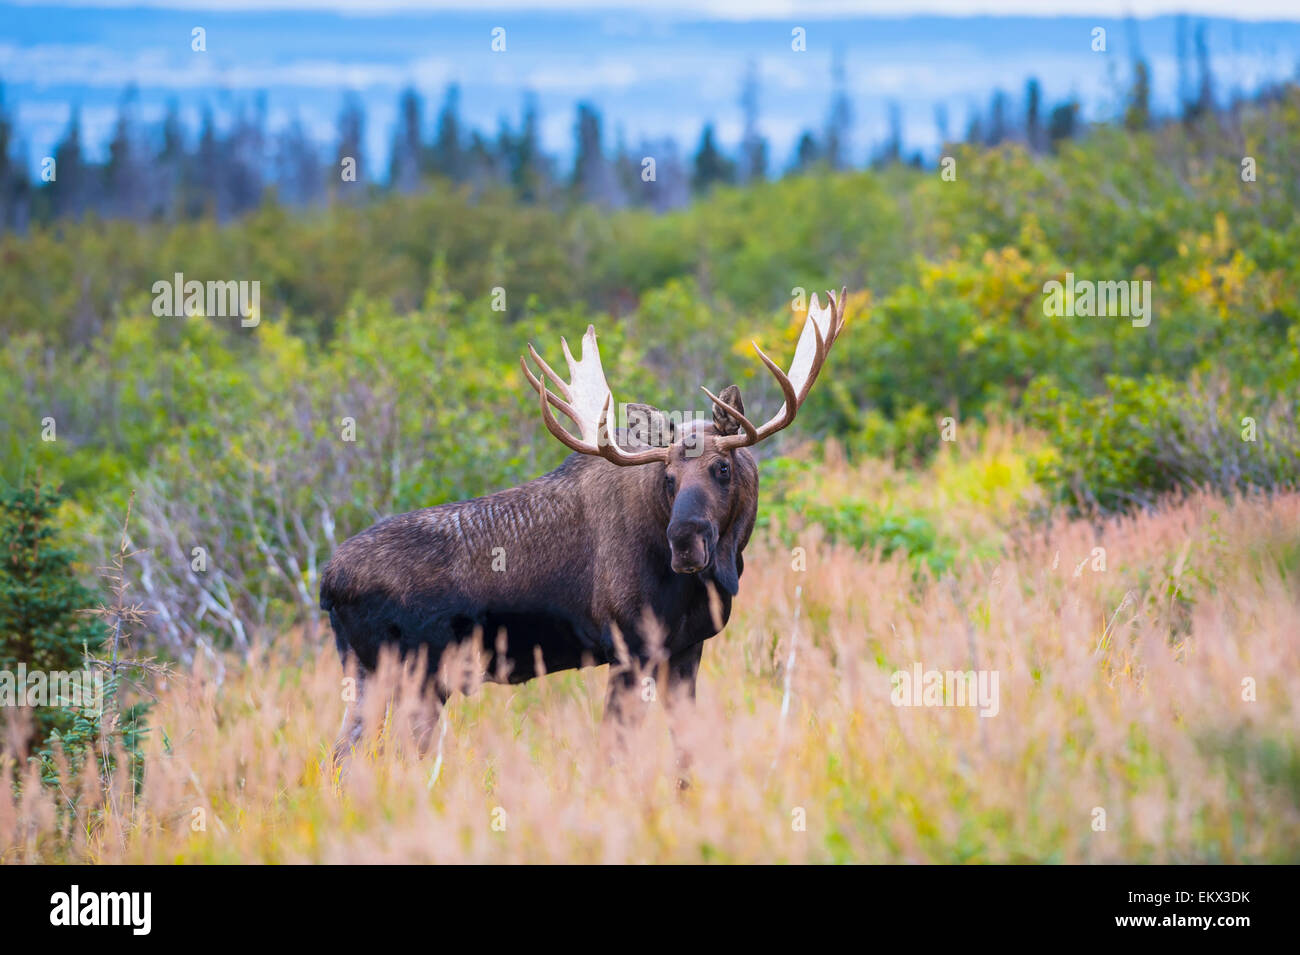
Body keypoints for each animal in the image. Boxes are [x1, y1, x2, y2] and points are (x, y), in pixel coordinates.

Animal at [320, 288, 848, 758]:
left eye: (722, 467)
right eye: (669, 477)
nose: (685, 544)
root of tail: (327, 580)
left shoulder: (686, 649)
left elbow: (686, 752)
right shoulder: (631, 648)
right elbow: (615, 750)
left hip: (371, 674)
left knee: (342, 756)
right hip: (414, 673)